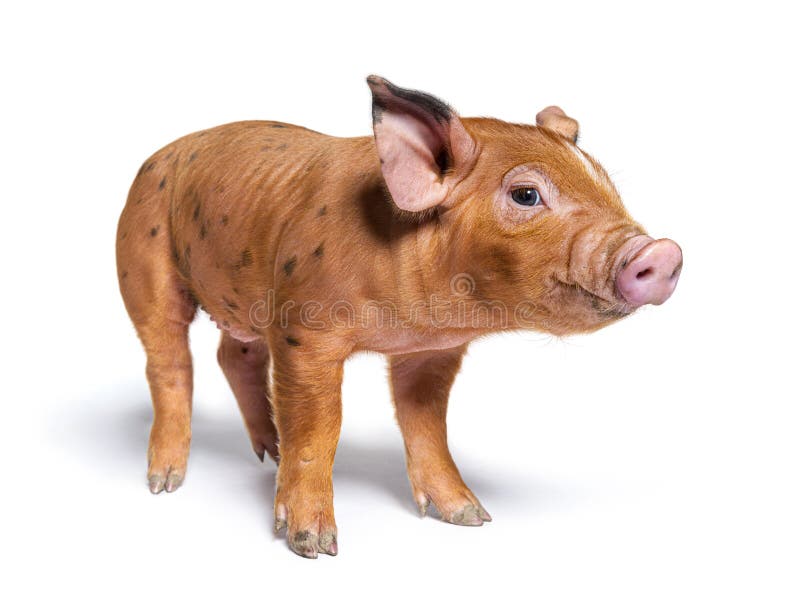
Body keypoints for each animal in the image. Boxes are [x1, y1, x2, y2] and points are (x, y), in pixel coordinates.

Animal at [116, 75, 682, 558]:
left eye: (606, 184)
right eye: (525, 194)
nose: (664, 251)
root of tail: (153, 159)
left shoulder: (432, 350)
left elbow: (426, 421)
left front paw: (471, 516)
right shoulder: (302, 331)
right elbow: (319, 428)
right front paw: (312, 546)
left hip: (240, 303)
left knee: (232, 354)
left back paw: (268, 451)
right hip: (142, 258)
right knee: (168, 360)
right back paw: (165, 482)